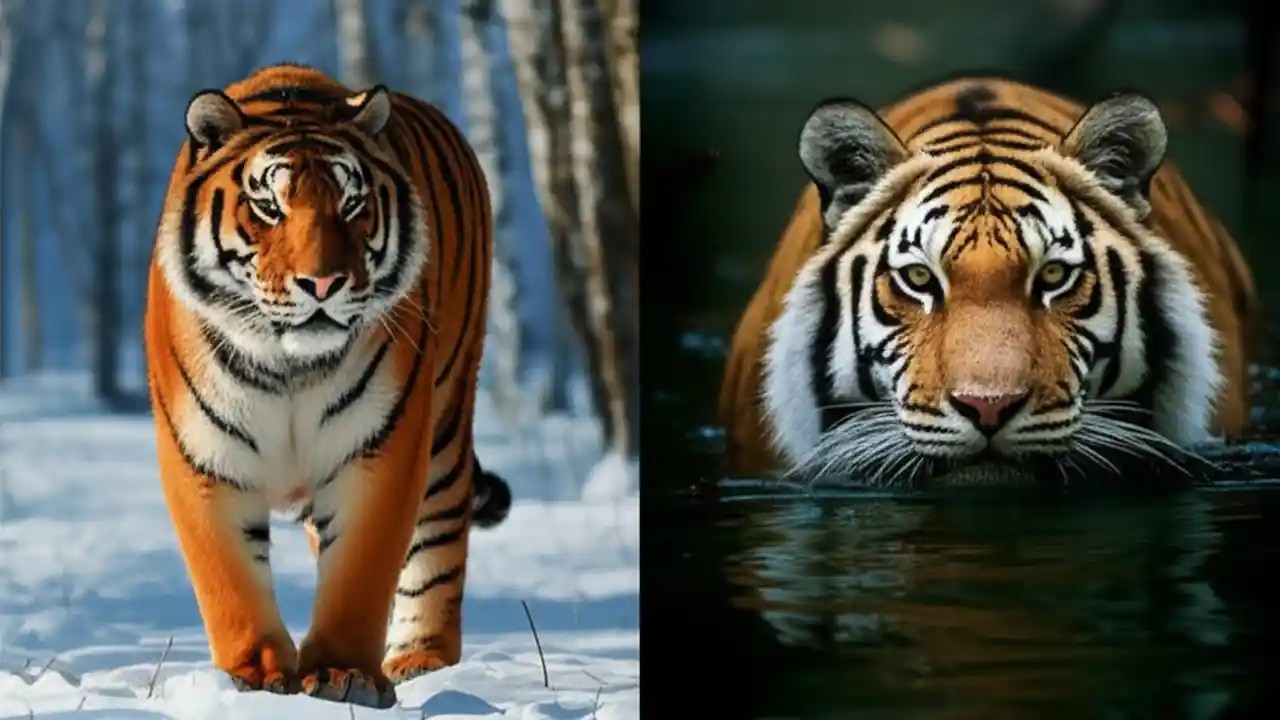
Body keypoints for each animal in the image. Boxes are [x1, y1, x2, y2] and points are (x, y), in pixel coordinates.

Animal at [144, 63, 511, 709]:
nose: (323, 283)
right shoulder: (204, 455)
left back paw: (421, 661)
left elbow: (361, 570)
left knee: (437, 544)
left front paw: (344, 674)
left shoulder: (380, 446)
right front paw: (255, 676)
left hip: (445, 430)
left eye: (353, 203)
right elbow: (229, 578)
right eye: (268, 206)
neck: (287, 364)